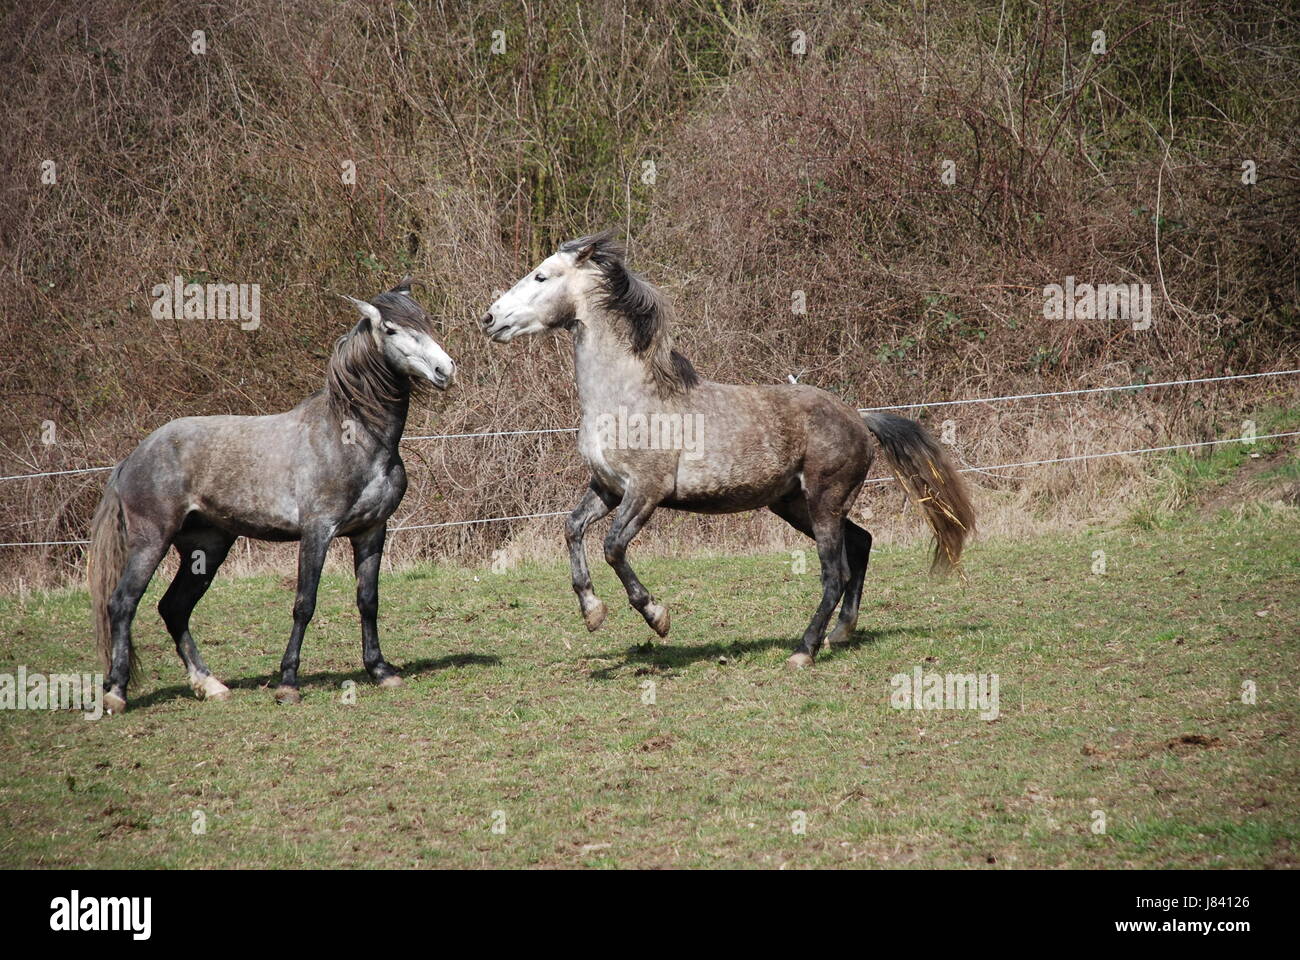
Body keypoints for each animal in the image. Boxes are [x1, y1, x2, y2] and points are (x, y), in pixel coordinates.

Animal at [87, 278, 455, 713]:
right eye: (391, 329)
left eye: (427, 322)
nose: (445, 370)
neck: (351, 437)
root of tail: (133, 456)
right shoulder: (318, 532)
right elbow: (304, 604)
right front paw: (288, 683)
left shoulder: (371, 532)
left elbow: (368, 600)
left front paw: (381, 671)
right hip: (151, 541)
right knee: (122, 603)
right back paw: (116, 693)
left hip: (206, 547)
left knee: (174, 608)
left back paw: (210, 685)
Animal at [479, 233, 974, 669]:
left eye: (541, 276)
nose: (489, 318)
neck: (627, 397)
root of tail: (858, 416)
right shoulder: (607, 489)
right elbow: (572, 529)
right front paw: (592, 611)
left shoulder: (646, 491)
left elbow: (613, 547)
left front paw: (657, 617)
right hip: (794, 504)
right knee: (861, 543)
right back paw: (841, 633)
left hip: (824, 501)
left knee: (836, 572)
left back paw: (804, 650)